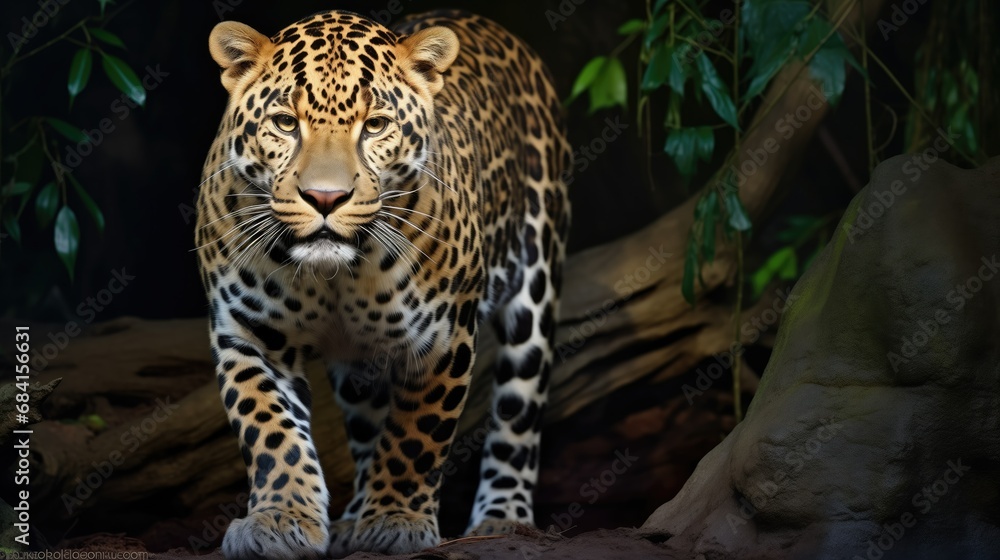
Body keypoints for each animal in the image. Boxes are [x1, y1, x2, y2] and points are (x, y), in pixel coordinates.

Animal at [195, 8, 570, 559]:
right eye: (285, 123)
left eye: (374, 126)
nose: (325, 198)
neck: (335, 275)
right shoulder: (249, 334)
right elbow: (269, 429)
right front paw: (280, 518)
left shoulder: (442, 338)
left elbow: (417, 435)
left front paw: (396, 520)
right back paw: (353, 515)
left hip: (536, 282)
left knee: (518, 412)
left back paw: (504, 515)